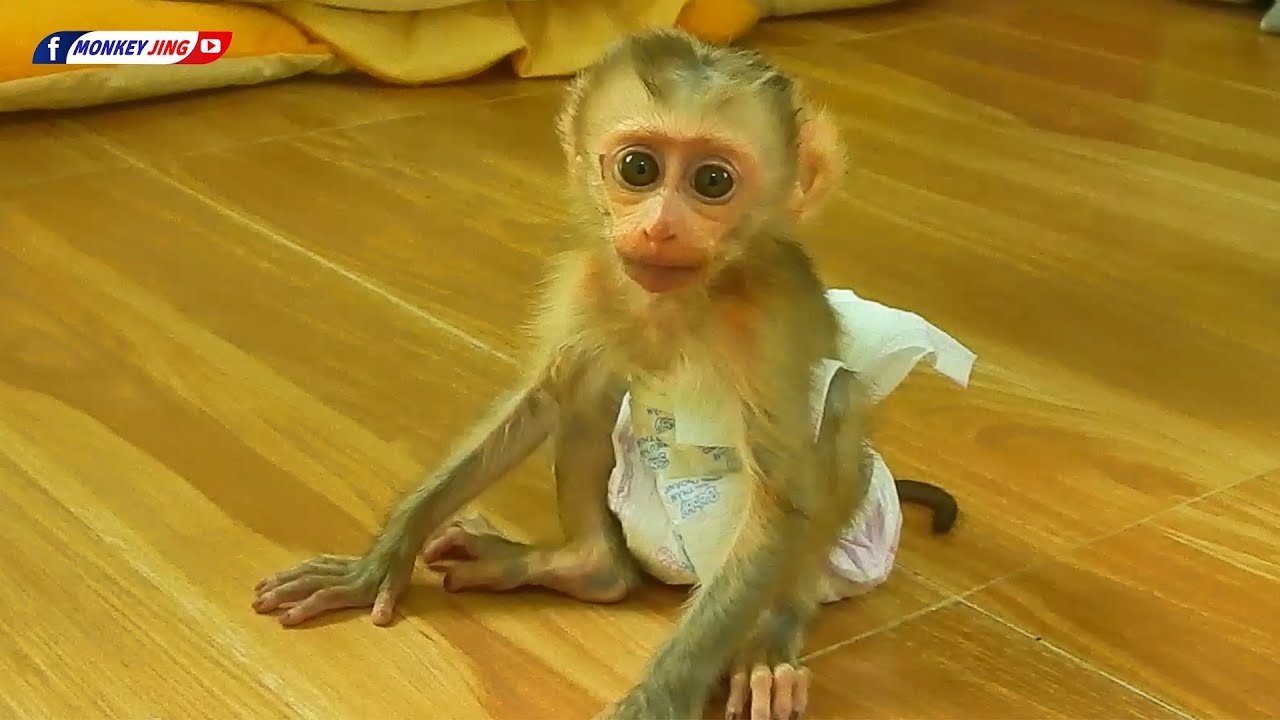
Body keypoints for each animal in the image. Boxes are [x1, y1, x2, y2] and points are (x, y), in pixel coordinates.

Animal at [251, 27, 959, 720]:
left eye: (712, 181)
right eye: (638, 169)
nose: (661, 228)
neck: (677, 302)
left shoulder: (769, 318)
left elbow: (784, 496)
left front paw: (660, 698)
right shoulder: (589, 275)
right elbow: (544, 396)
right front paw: (380, 560)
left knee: (839, 404)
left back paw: (771, 641)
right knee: (592, 389)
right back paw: (588, 567)